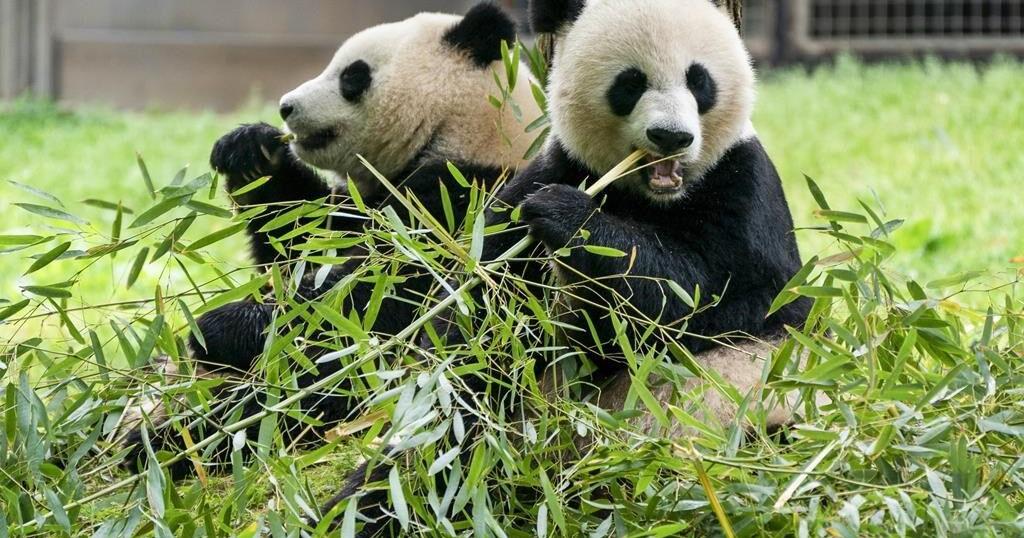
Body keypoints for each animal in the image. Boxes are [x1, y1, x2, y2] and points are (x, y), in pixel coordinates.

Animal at [122, 1, 542, 479]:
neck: (466, 130)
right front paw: (250, 151)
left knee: (298, 399)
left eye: (352, 76)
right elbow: (297, 241)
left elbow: (377, 303)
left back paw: (168, 443)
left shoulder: (465, 202)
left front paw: (220, 327)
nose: (285, 107)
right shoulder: (364, 202)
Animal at [322, 0, 813, 533]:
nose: (671, 137)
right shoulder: (548, 174)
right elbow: (482, 329)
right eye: (631, 83)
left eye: (699, 80)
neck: (651, 196)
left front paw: (570, 218)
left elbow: (714, 300)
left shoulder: (745, 190)